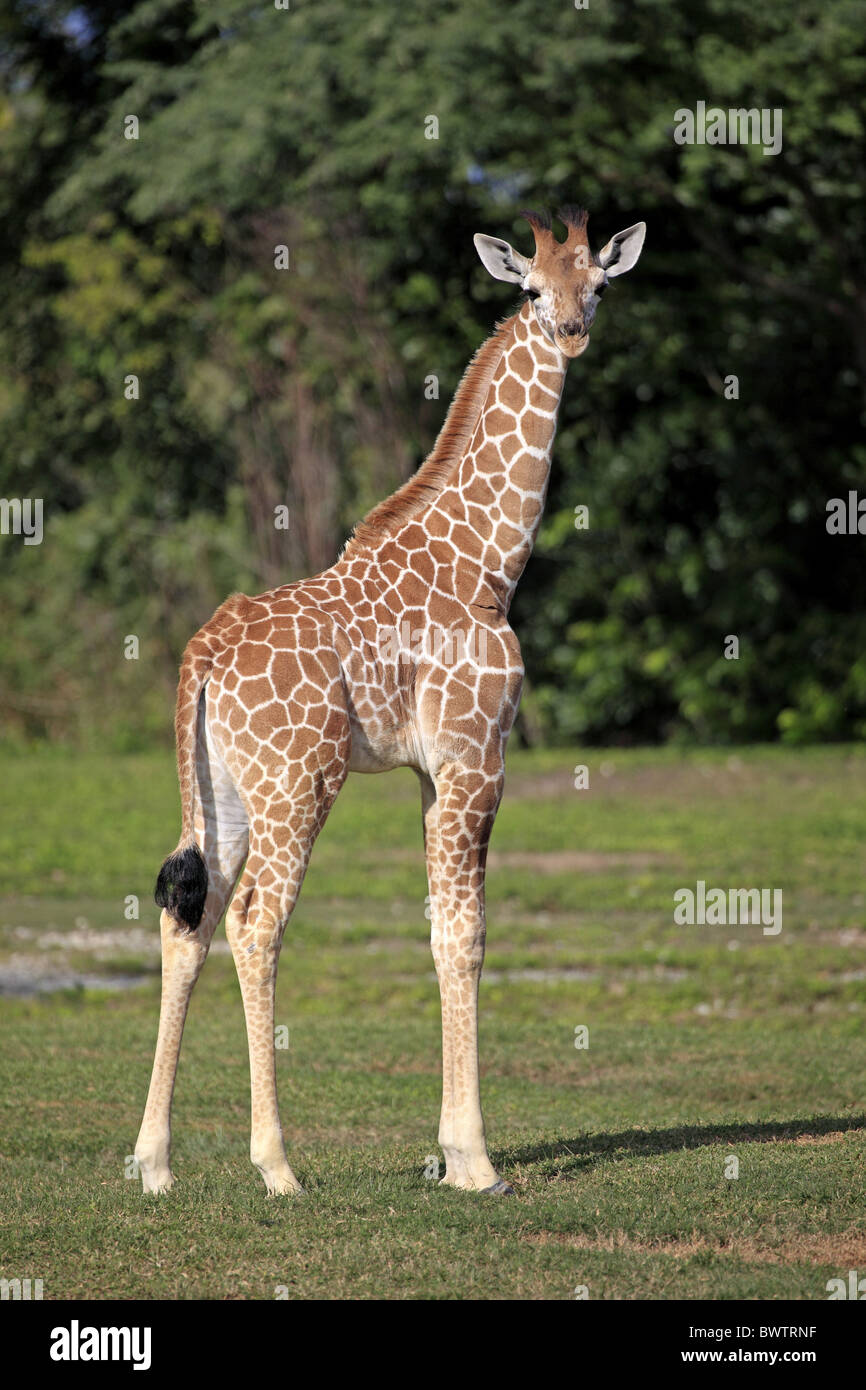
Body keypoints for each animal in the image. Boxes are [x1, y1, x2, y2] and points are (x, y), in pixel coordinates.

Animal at [134, 205, 645, 1198]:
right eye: (533, 289)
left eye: (598, 283)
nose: (571, 331)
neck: (488, 564)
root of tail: (205, 655)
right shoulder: (477, 758)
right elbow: (468, 936)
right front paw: (477, 1162)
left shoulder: (430, 771)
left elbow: (440, 928)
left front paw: (450, 1155)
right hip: (298, 782)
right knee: (255, 923)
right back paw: (278, 1167)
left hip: (221, 791)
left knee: (192, 917)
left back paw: (154, 1164)